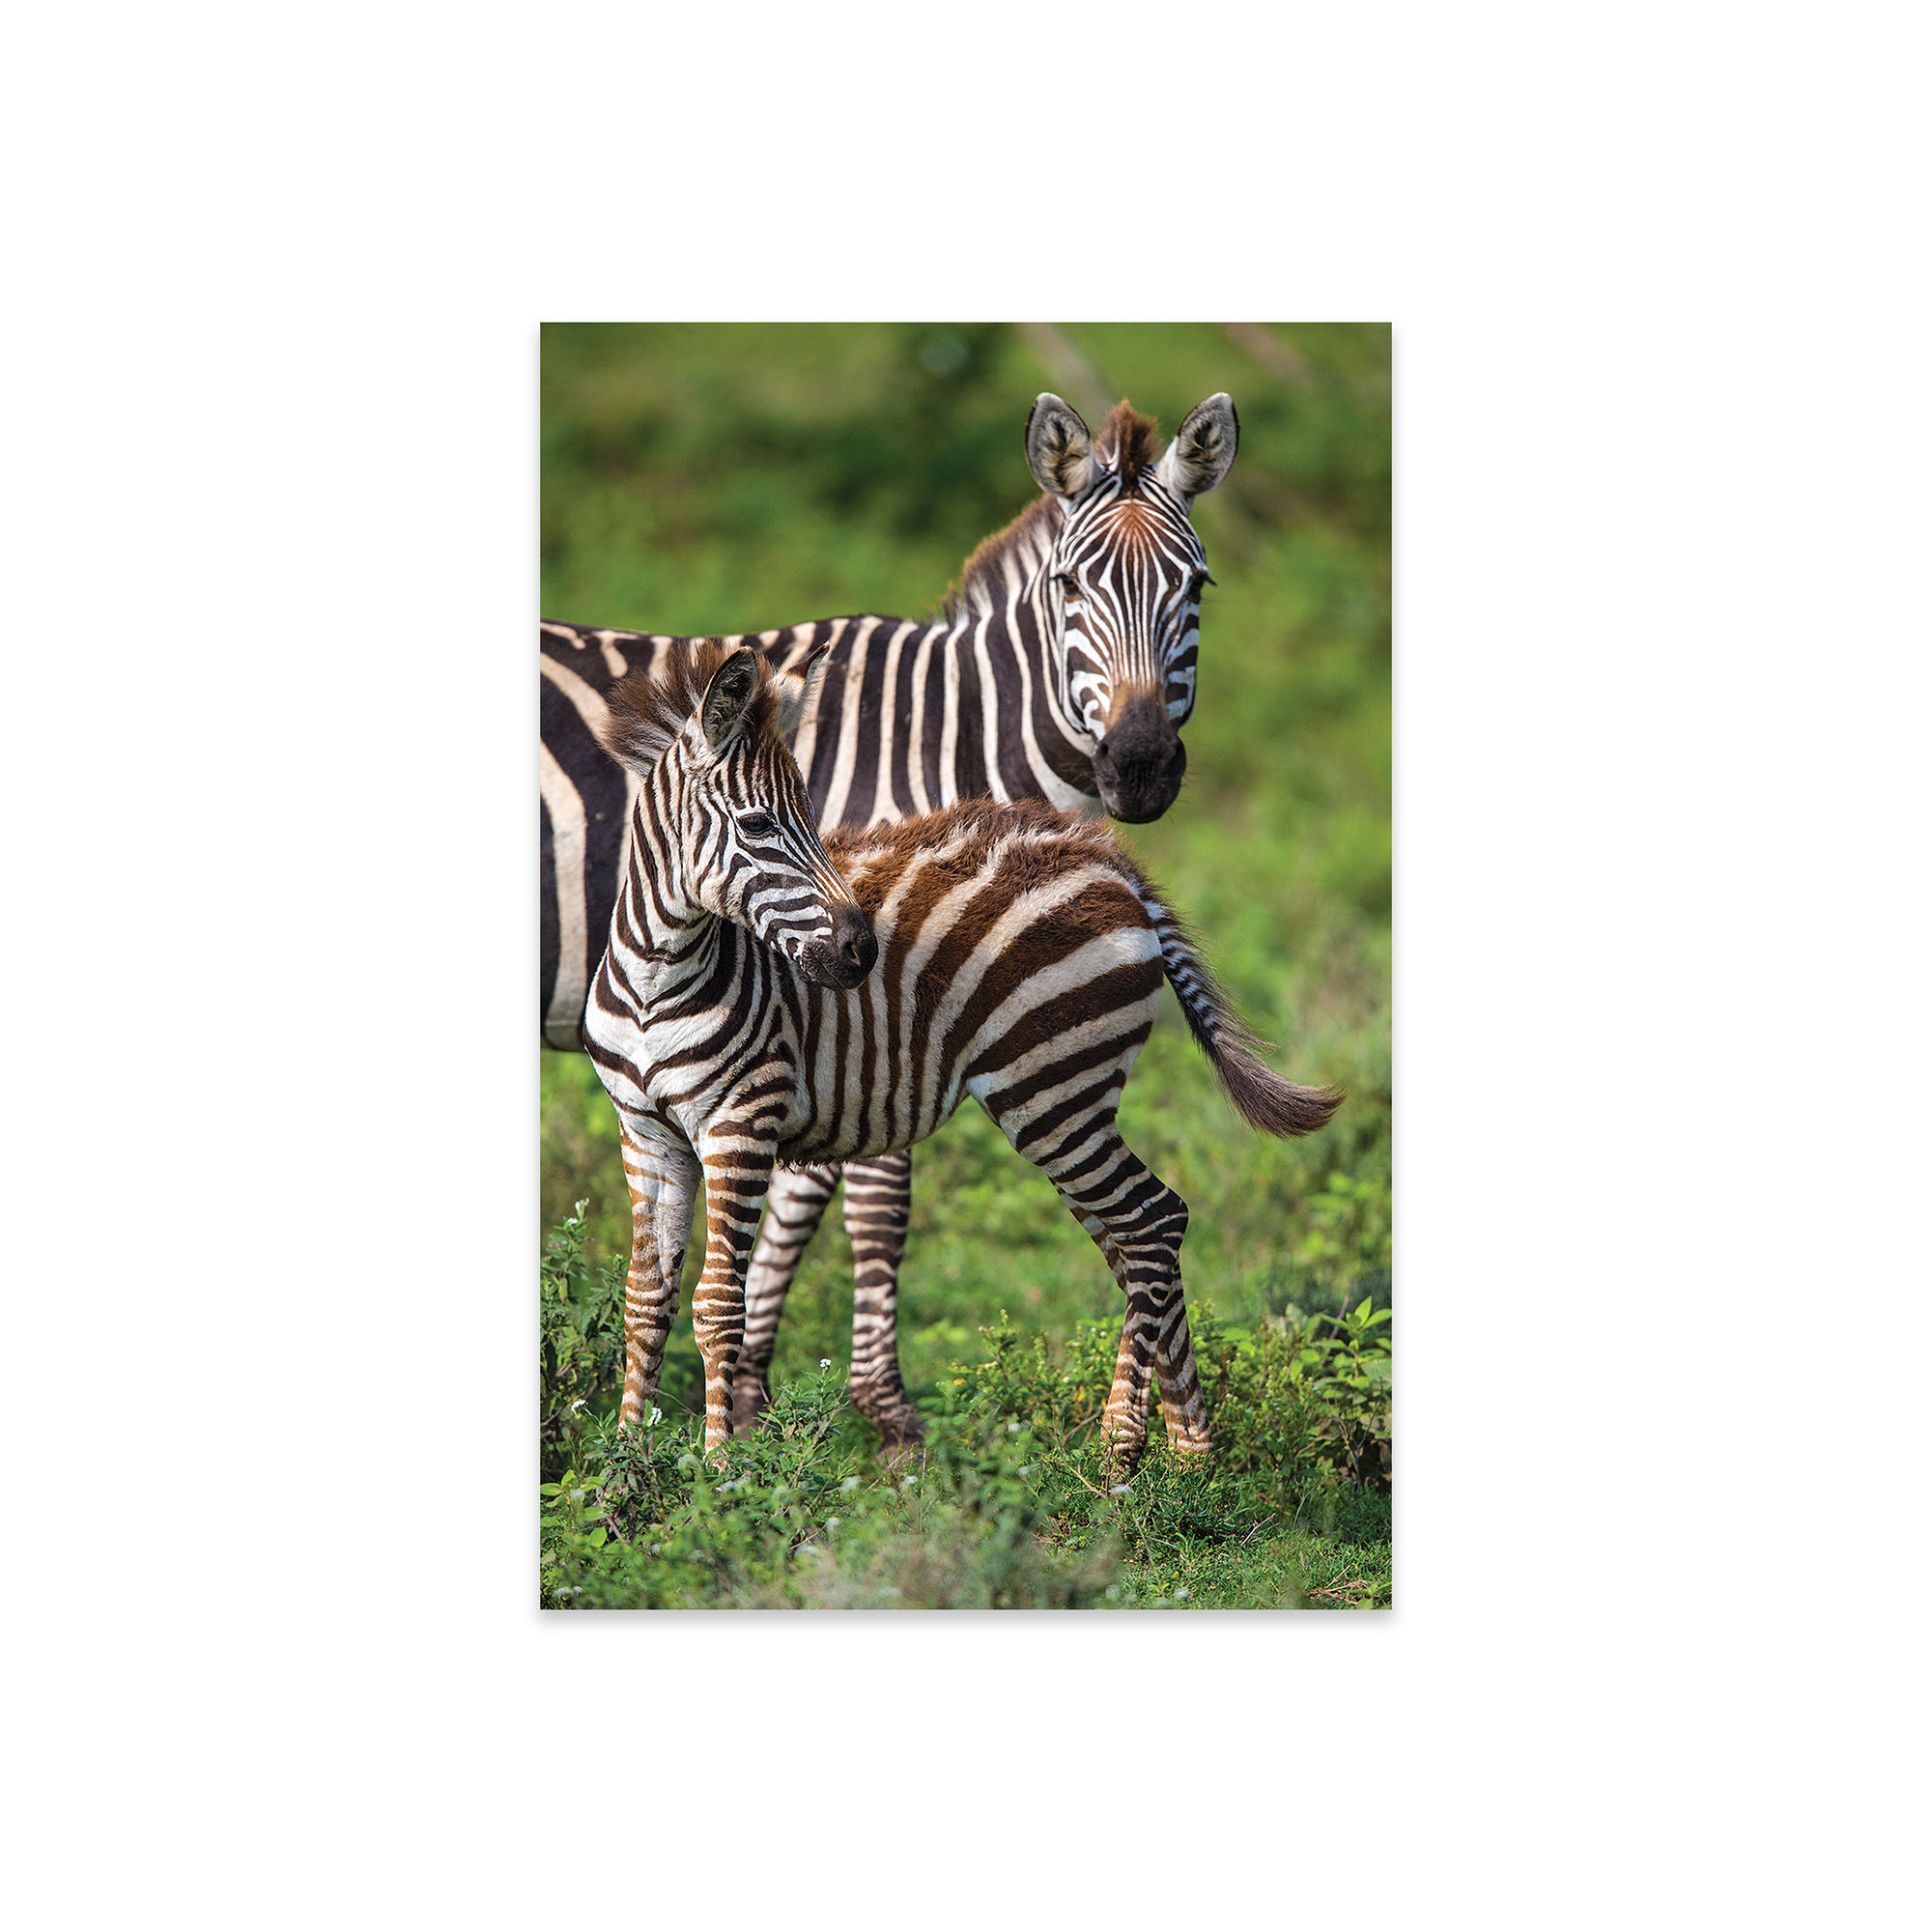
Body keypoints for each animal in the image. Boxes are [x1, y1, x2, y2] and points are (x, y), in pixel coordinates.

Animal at [544, 390, 1241, 1446]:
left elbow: (795, 1213)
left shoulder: (854, 1017)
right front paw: (873, 1418)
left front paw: (754, 1404)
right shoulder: (866, 1000)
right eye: (1070, 587)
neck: (947, 734)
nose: (1140, 764)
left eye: (1194, 585)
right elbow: (870, 1202)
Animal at [580, 641, 1340, 1461]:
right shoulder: (646, 1133)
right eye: (756, 825)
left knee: (1150, 1222)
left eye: (811, 819)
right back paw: (1155, 1448)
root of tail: (1109, 859)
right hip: (1073, 1099)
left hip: (1049, 1088)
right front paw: (628, 1463)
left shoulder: (740, 1124)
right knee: (1134, 1238)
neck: (658, 978)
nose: (859, 952)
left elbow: (719, 1303)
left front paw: (722, 1471)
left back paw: (1156, 1452)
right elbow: (645, 1300)